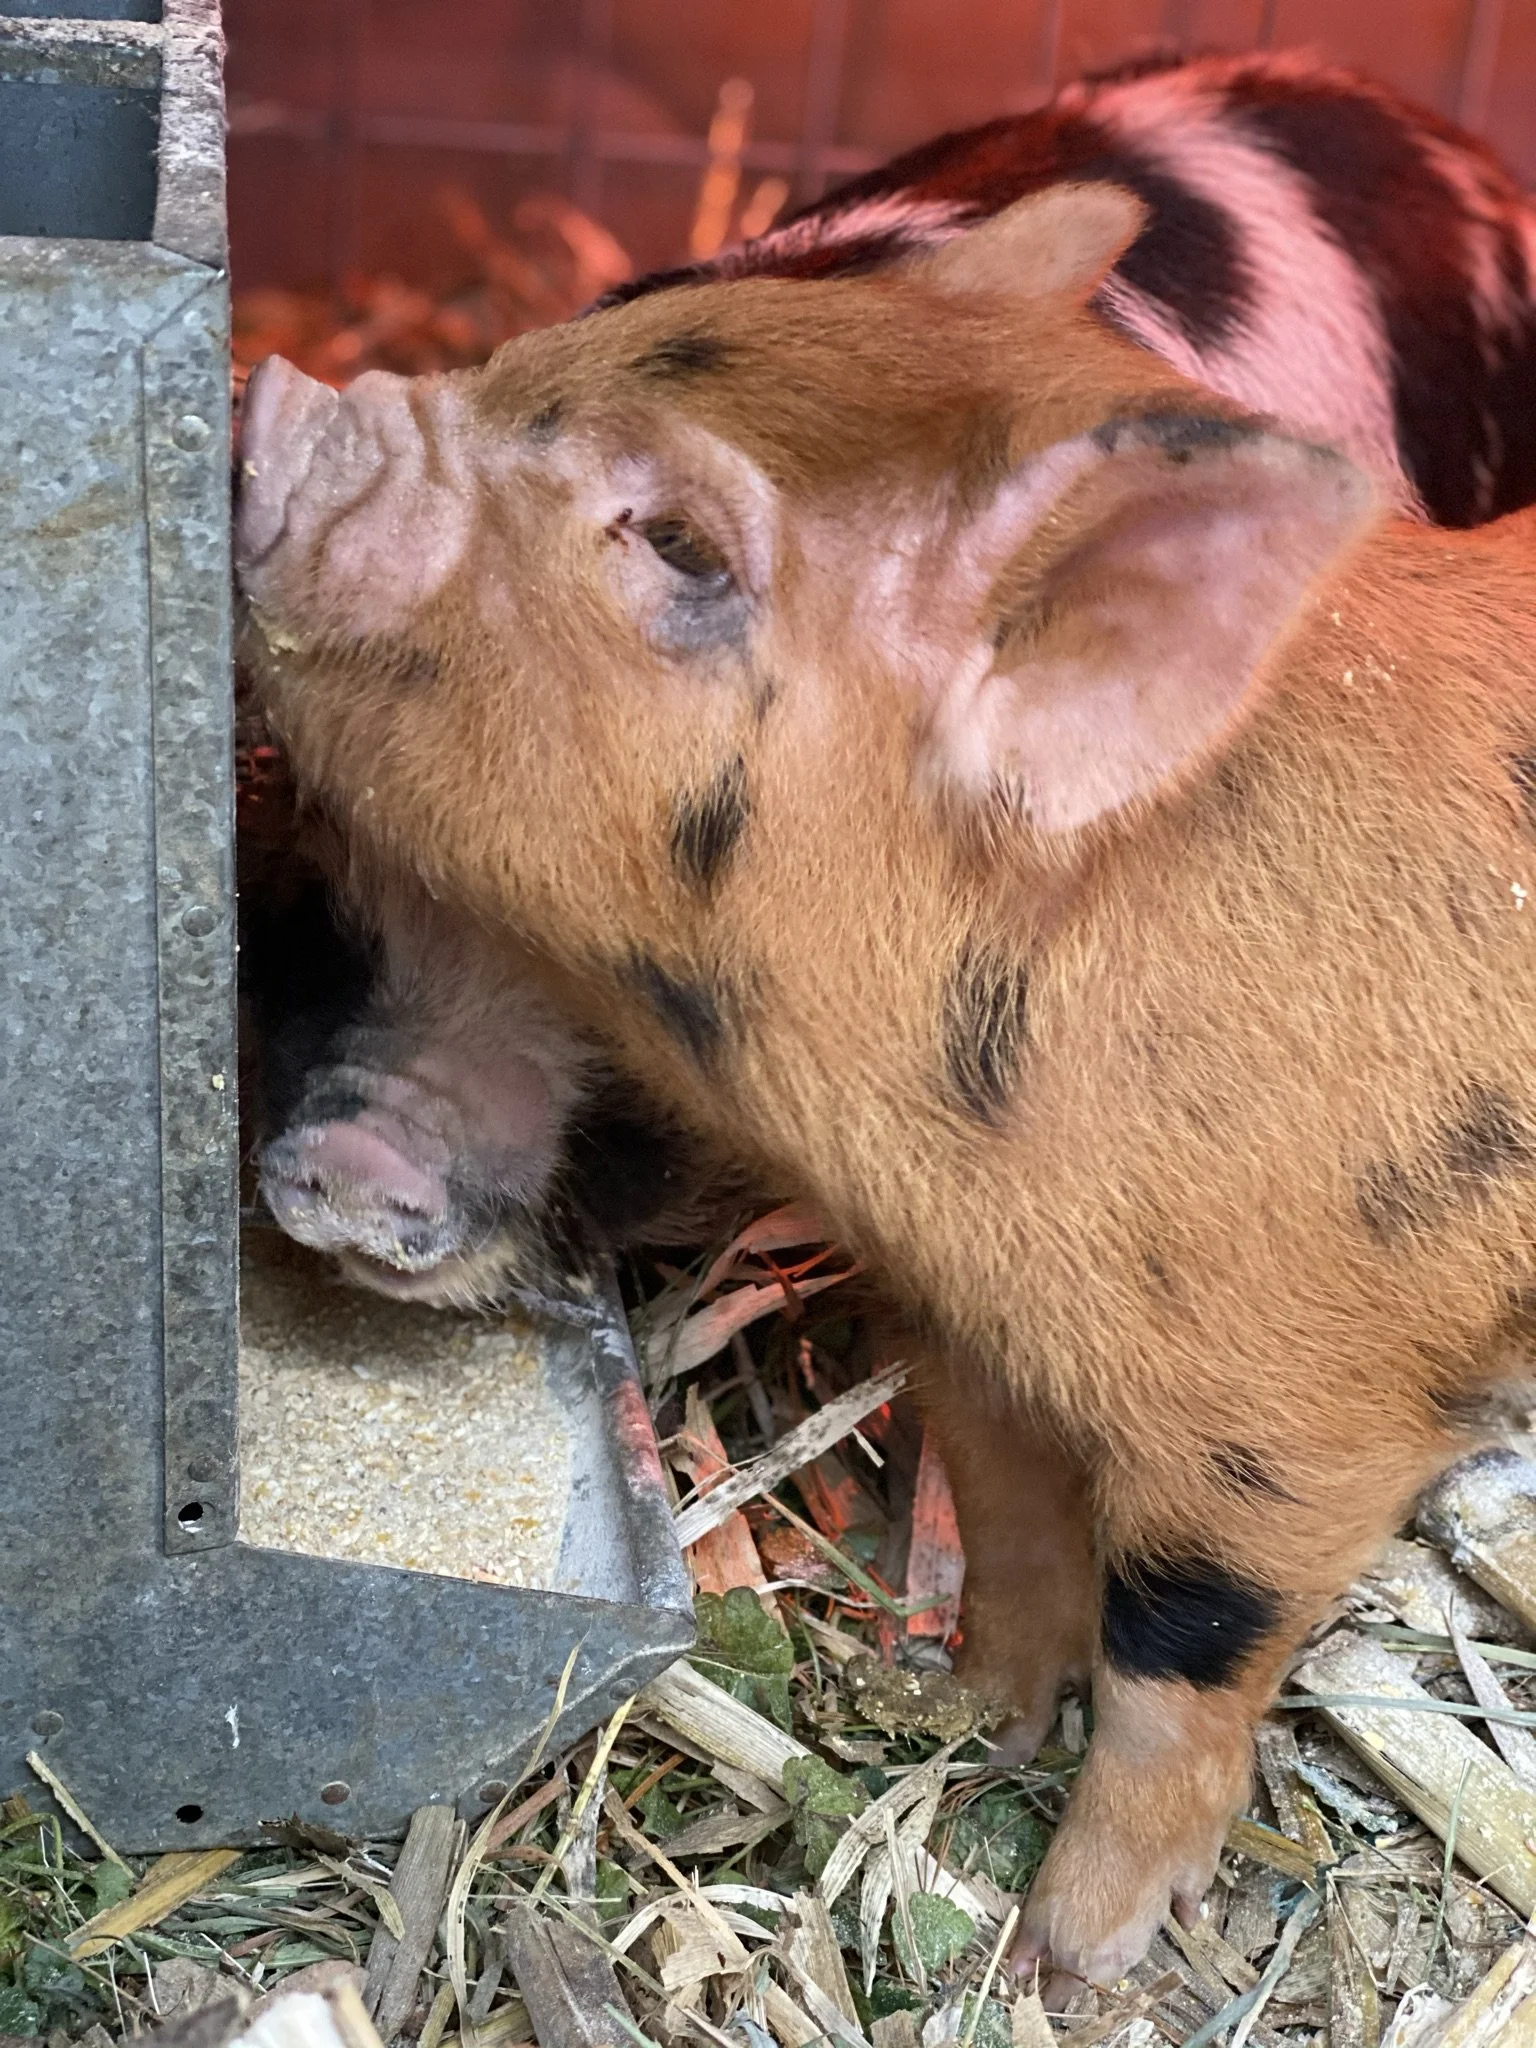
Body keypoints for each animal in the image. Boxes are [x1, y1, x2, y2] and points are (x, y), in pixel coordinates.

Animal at [237, 180, 1536, 1986]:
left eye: (684, 546)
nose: (278, 391)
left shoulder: (1306, 1411)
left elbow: (1181, 1658)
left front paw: (1066, 1957)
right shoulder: (966, 1315)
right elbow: (1004, 1505)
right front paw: (970, 1709)